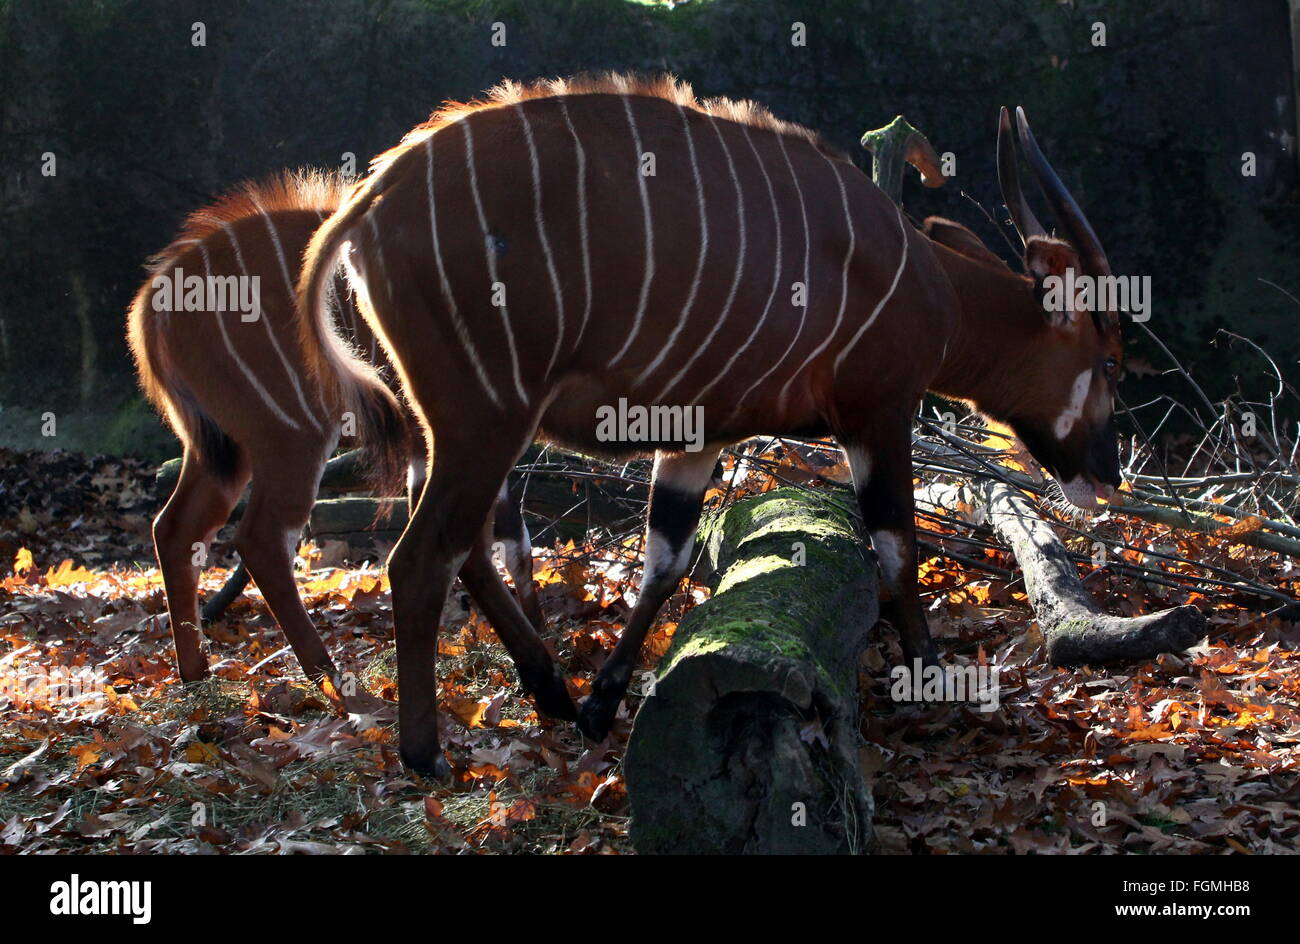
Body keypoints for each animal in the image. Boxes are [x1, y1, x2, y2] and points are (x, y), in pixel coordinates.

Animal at [127, 170, 551, 712]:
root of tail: (151, 308)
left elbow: (508, 540)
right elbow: (483, 542)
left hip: (221, 450)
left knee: (174, 528)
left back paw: (197, 680)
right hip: (294, 435)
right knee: (259, 539)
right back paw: (337, 685)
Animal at [296, 75, 1122, 774]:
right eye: (1109, 359)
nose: (1106, 476)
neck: (926, 280)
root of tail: (373, 195)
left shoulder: (701, 438)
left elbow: (666, 561)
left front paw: (601, 705)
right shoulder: (877, 414)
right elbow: (898, 549)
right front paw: (930, 682)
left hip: (446, 424)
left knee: (461, 545)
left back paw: (552, 692)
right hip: (485, 416)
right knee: (421, 555)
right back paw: (426, 754)